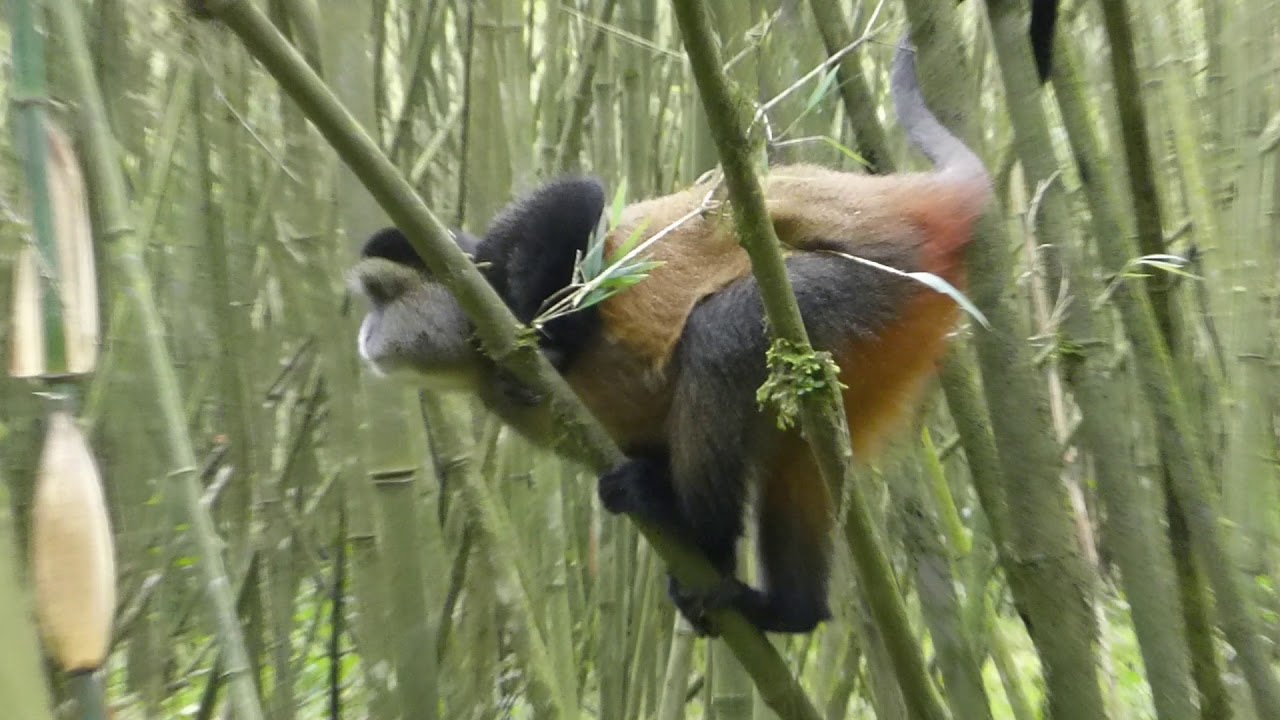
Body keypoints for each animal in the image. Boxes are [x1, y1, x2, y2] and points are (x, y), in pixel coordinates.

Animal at [350, 36, 991, 636]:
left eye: (379, 298)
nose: (364, 333)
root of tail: (910, 209)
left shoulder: (490, 269)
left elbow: (577, 199)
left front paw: (556, 333)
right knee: (798, 451)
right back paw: (791, 610)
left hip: (879, 282)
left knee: (724, 332)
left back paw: (701, 538)